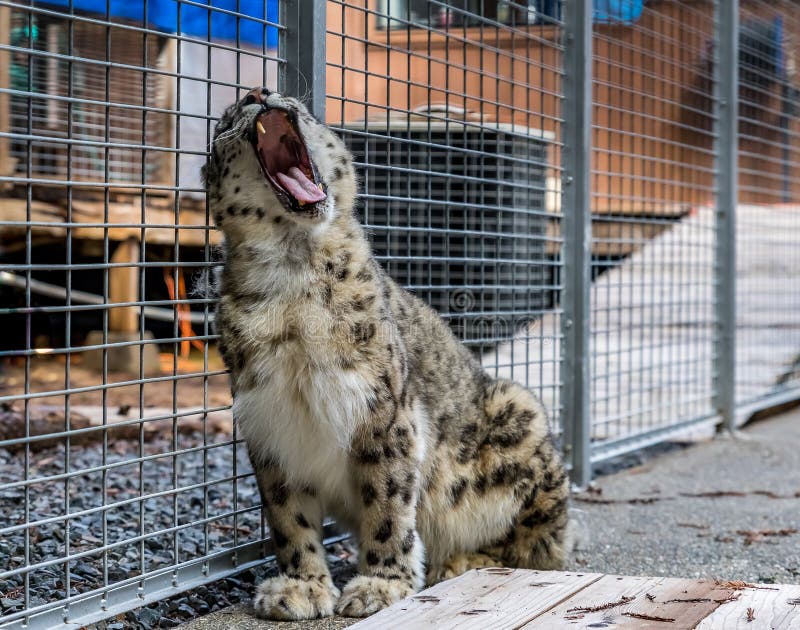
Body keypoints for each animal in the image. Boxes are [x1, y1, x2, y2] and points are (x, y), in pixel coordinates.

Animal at [202, 87, 571, 620]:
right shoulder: (271, 424)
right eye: (226, 119)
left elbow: (387, 500)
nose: (258, 92)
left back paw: (461, 562)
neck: (292, 280)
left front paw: (381, 585)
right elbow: (289, 515)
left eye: (299, 105)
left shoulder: (384, 412)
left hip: (520, 414)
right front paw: (301, 587)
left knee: (538, 546)